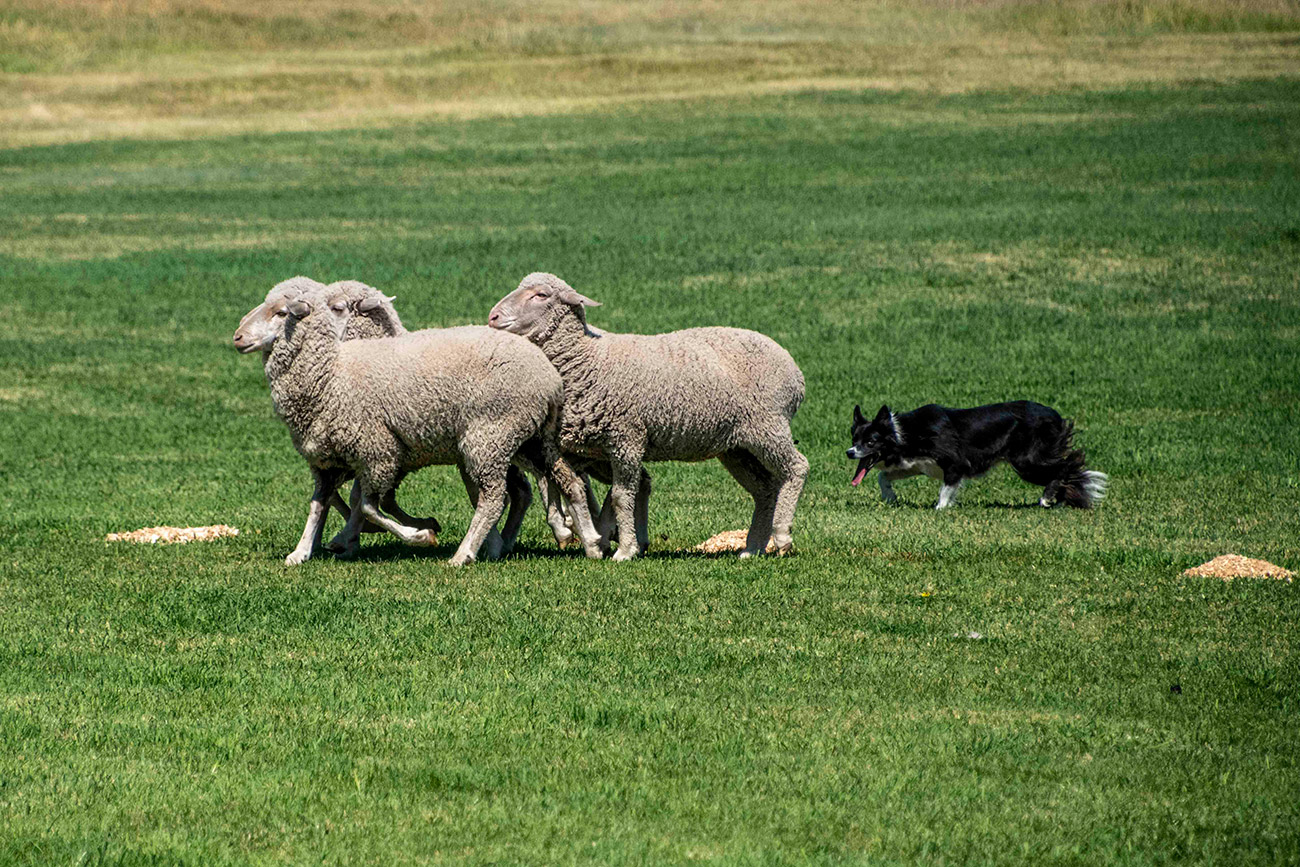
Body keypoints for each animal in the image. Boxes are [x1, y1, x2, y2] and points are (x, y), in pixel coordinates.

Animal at [233, 280, 603, 566]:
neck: (332, 371)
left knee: (494, 498)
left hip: (488, 438)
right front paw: (302, 551)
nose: (237, 336)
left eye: (281, 313)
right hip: (534, 440)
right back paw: (589, 542)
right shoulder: (328, 461)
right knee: (565, 482)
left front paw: (419, 534)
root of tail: (548, 377)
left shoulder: (378, 451)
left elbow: (366, 505)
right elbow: (319, 506)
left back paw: (466, 553)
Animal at [487, 272, 809, 560]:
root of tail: (794, 370)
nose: (492, 317)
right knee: (764, 489)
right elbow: (575, 489)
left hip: (768, 426)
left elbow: (621, 496)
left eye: (541, 295)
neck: (586, 357)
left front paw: (624, 550)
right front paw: (600, 540)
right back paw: (753, 548)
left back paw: (782, 534)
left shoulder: (626, 438)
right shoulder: (572, 449)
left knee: (797, 468)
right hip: (737, 446)